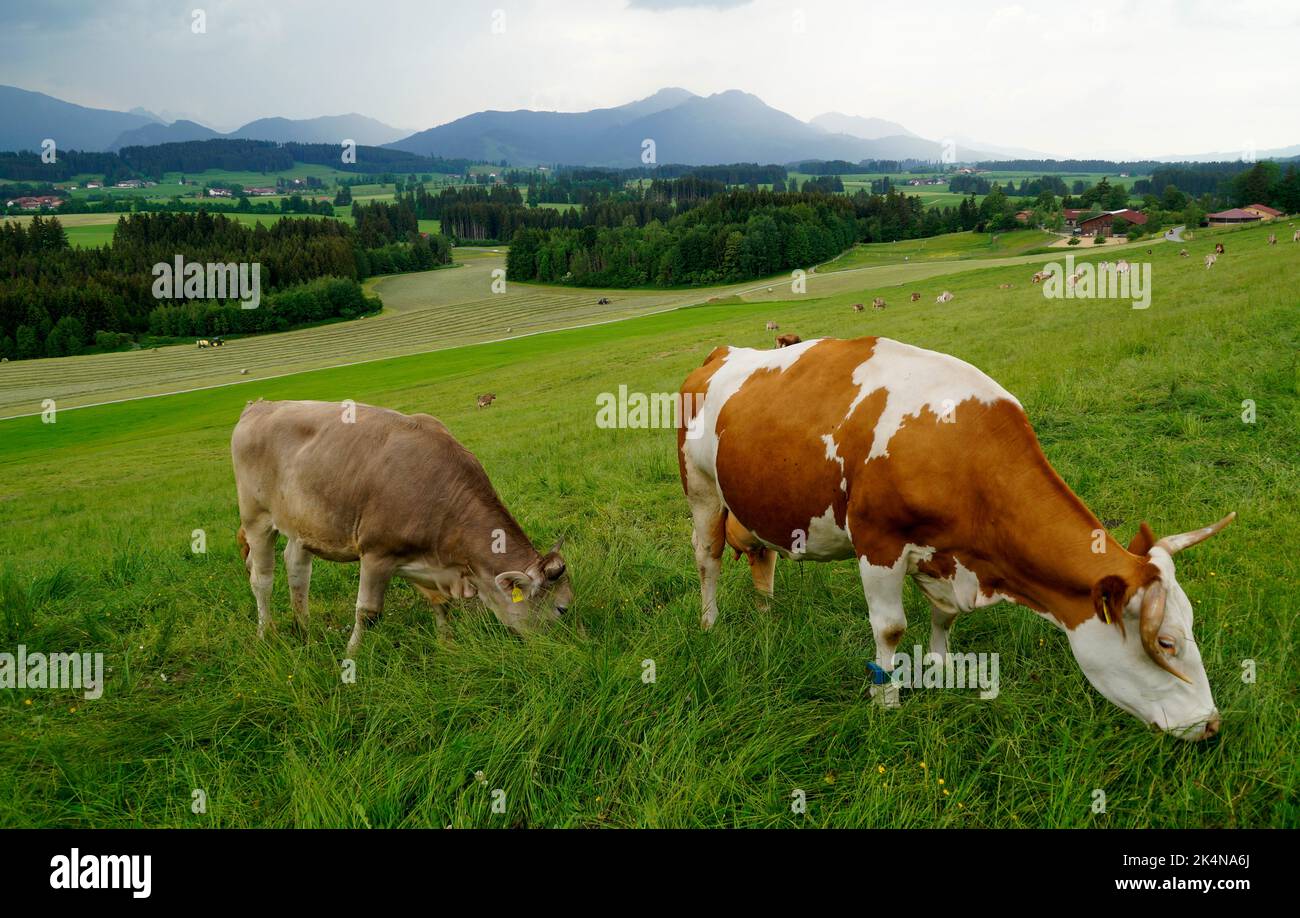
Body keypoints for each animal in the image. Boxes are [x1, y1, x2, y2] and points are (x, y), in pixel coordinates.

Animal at [231, 400, 572, 654]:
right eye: (562, 609)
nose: (567, 650)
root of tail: (260, 405)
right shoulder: (376, 553)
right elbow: (367, 613)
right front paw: (350, 655)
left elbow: (440, 603)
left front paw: (446, 643)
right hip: (256, 517)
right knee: (262, 580)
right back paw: (265, 633)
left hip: (304, 524)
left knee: (297, 569)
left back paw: (303, 629)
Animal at [676, 337, 1231, 740]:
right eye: (1166, 641)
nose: (1210, 724)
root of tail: (723, 352)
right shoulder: (878, 542)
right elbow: (890, 629)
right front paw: (887, 701)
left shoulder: (945, 555)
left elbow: (943, 615)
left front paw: (940, 666)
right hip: (702, 489)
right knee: (708, 558)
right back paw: (709, 624)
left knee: (760, 558)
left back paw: (767, 616)